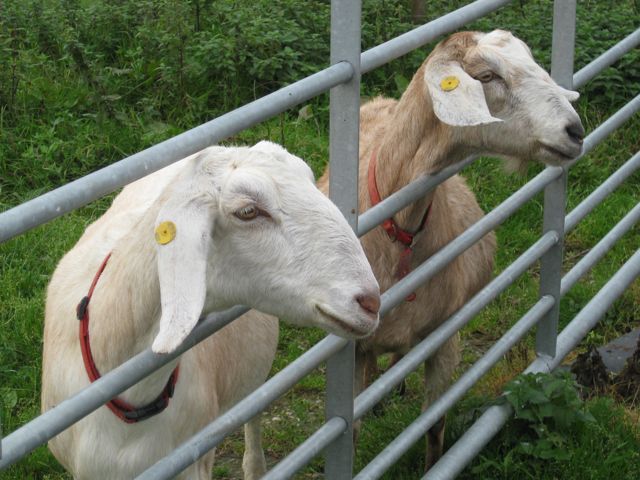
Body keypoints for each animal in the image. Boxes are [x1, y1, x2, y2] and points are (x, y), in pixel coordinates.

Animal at [316, 29, 585, 468]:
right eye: (488, 76)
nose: (574, 131)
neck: (399, 229)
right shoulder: (352, 348)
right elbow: (350, 431)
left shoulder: (444, 336)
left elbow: (434, 422)